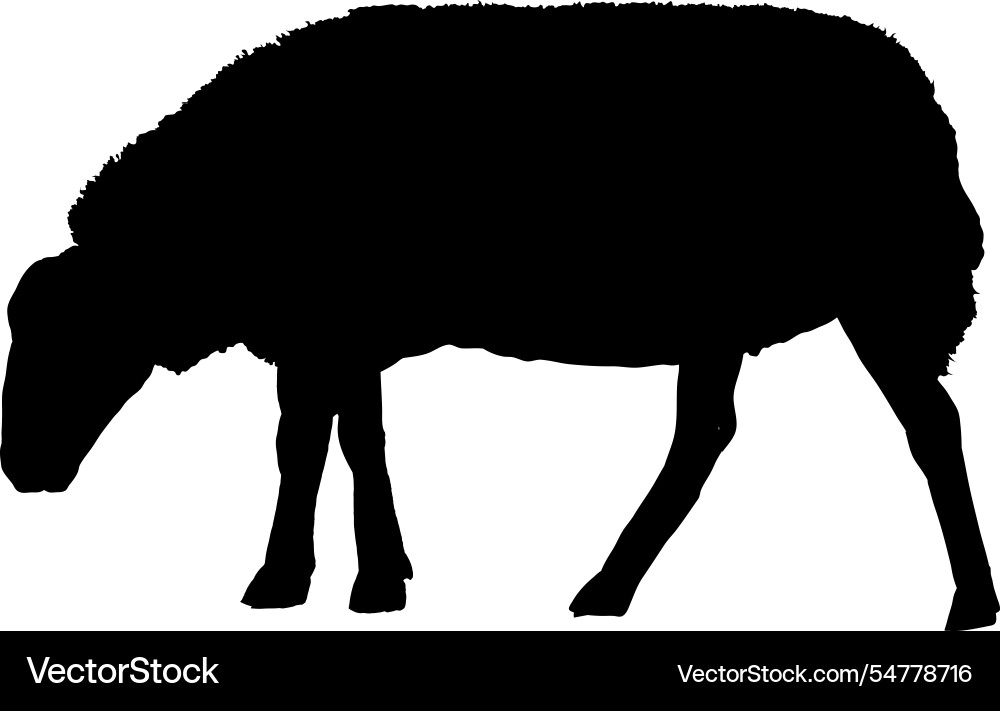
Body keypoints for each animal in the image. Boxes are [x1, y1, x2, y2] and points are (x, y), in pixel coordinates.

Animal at [1, 2, 996, 630]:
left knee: (931, 427)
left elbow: (317, 444)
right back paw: (608, 588)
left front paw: (314, 581)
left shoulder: (327, 328)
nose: (21, 470)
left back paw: (971, 604)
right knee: (705, 435)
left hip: (886, 292)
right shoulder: (339, 335)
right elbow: (345, 440)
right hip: (725, 318)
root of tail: (922, 97)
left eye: (78, 346)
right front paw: (372, 573)